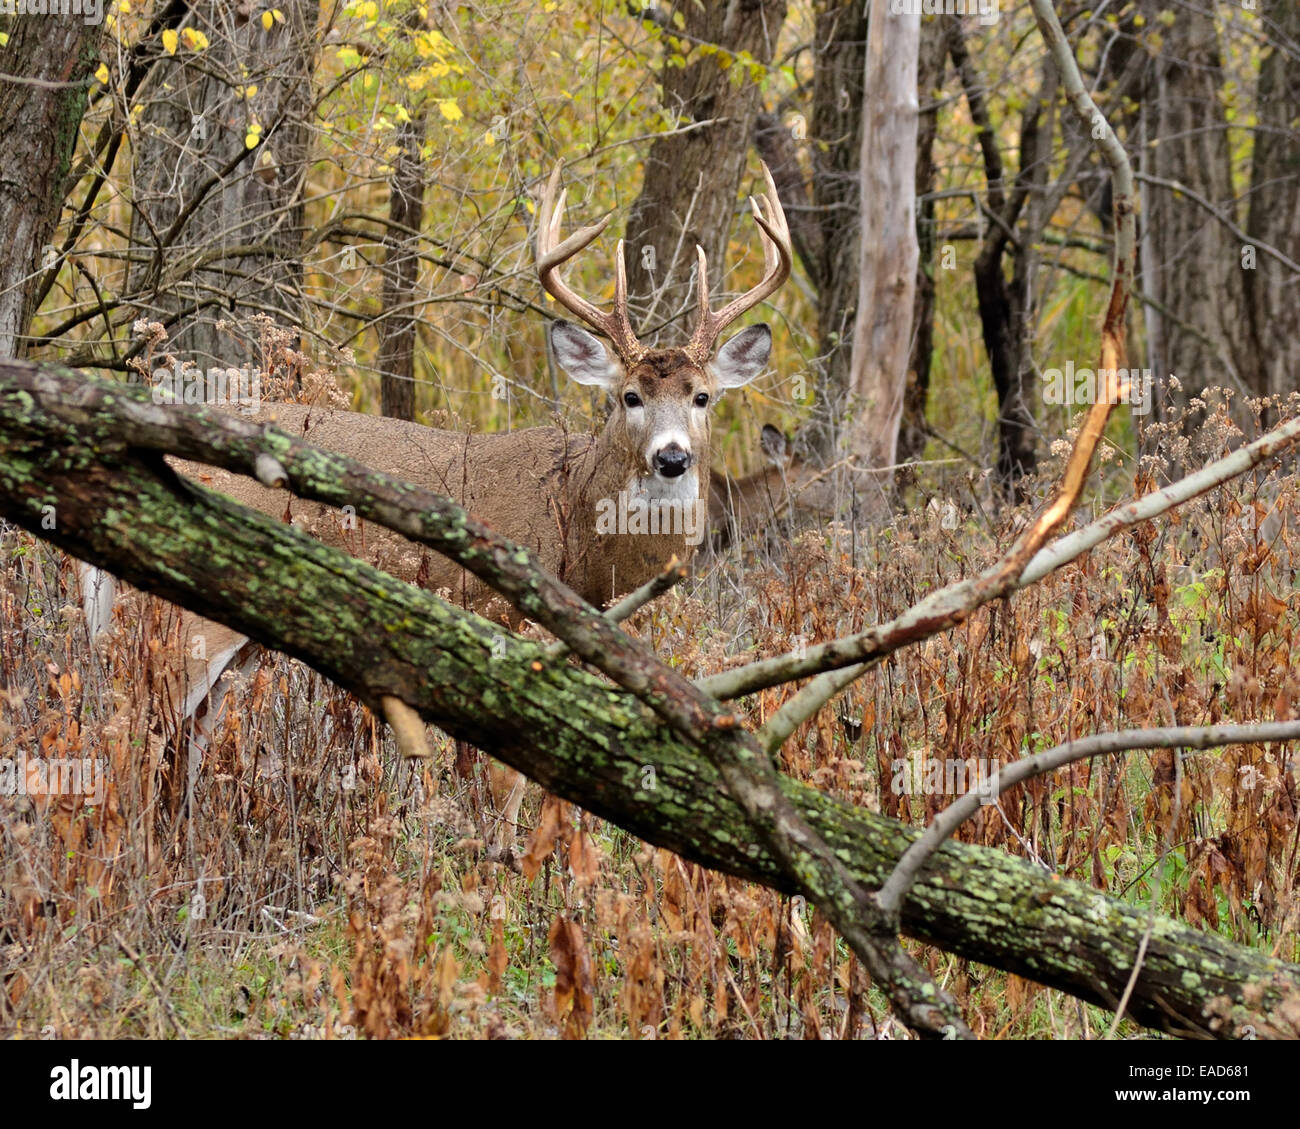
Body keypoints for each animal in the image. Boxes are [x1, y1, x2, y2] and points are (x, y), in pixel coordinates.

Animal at [78, 161, 792, 847]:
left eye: (702, 397)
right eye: (630, 397)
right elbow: (501, 786)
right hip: (179, 622)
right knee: (132, 738)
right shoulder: (504, 622)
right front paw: (501, 868)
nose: (672, 458)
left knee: (180, 748)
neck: (580, 526)